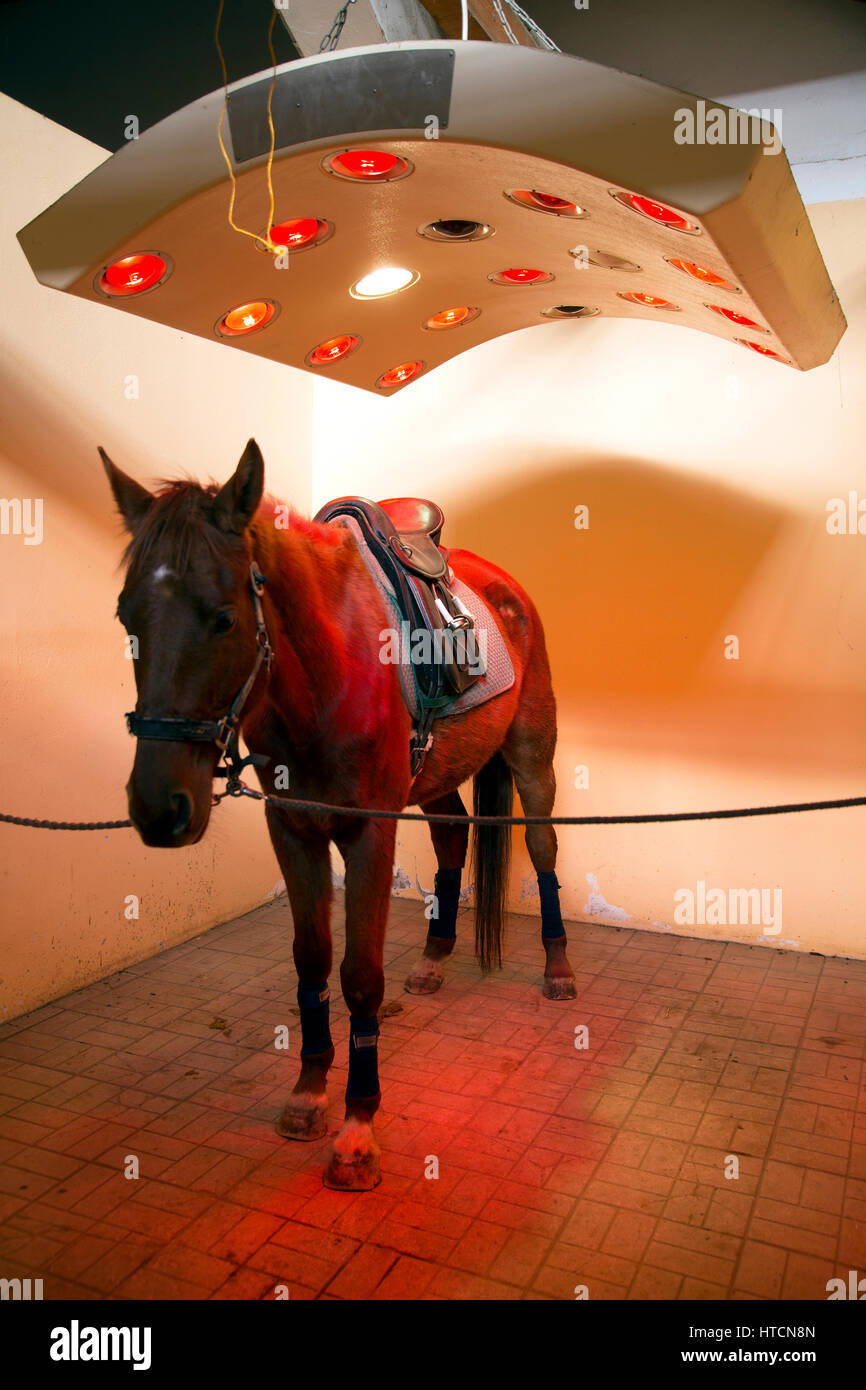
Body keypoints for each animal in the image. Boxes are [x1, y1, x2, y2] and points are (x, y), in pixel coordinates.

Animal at [101, 438, 576, 1190]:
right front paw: (308, 1093)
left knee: (544, 849)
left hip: (532, 758)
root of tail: (506, 586)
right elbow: (312, 958)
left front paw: (357, 1128)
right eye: (127, 620)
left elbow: (359, 974)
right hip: (435, 776)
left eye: (224, 617)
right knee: (453, 838)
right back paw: (434, 960)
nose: (159, 807)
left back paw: (559, 970)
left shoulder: (368, 833)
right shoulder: (293, 828)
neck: (320, 677)